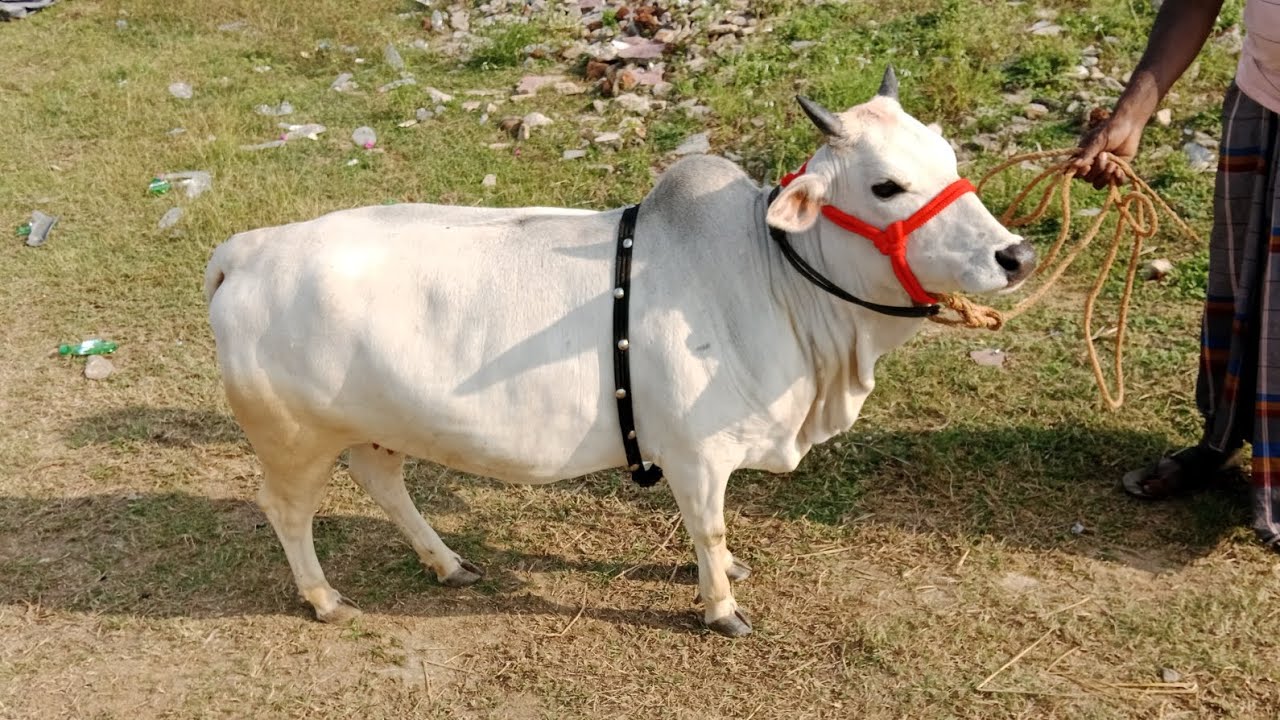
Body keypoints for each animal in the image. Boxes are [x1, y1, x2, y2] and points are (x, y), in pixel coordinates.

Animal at [204, 68, 1034, 637]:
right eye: (887, 186)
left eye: (949, 157)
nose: (1015, 255)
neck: (772, 280)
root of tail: (248, 249)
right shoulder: (697, 454)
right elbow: (709, 527)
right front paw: (721, 605)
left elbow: (713, 531)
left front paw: (724, 573)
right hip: (293, 440)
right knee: (285, 510)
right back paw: (324, 597)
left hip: (367, 427)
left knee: (383, 482)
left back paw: (447, 563)